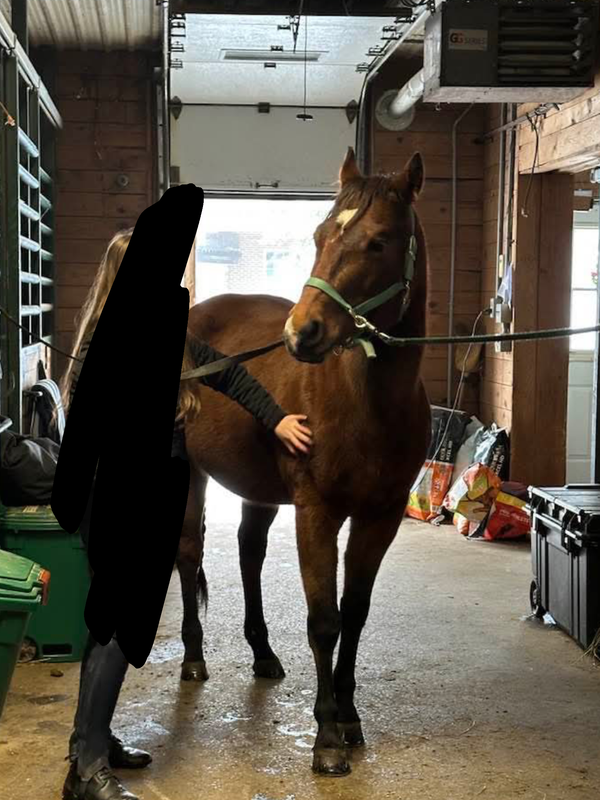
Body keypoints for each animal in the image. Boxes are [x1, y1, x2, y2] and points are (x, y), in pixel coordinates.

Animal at [175, 147, 432, 776]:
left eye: (379, 242)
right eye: (319, 235)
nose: (302, 333)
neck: (365, 402)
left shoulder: (380, 518)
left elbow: (354, 613)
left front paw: (350, 715)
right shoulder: (316, 513)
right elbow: (324, 620)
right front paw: (326, 736)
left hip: (257, 491)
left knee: (248, 555)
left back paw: (263, 653)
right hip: (190, 475)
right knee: (190, 555)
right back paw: (194, 657)